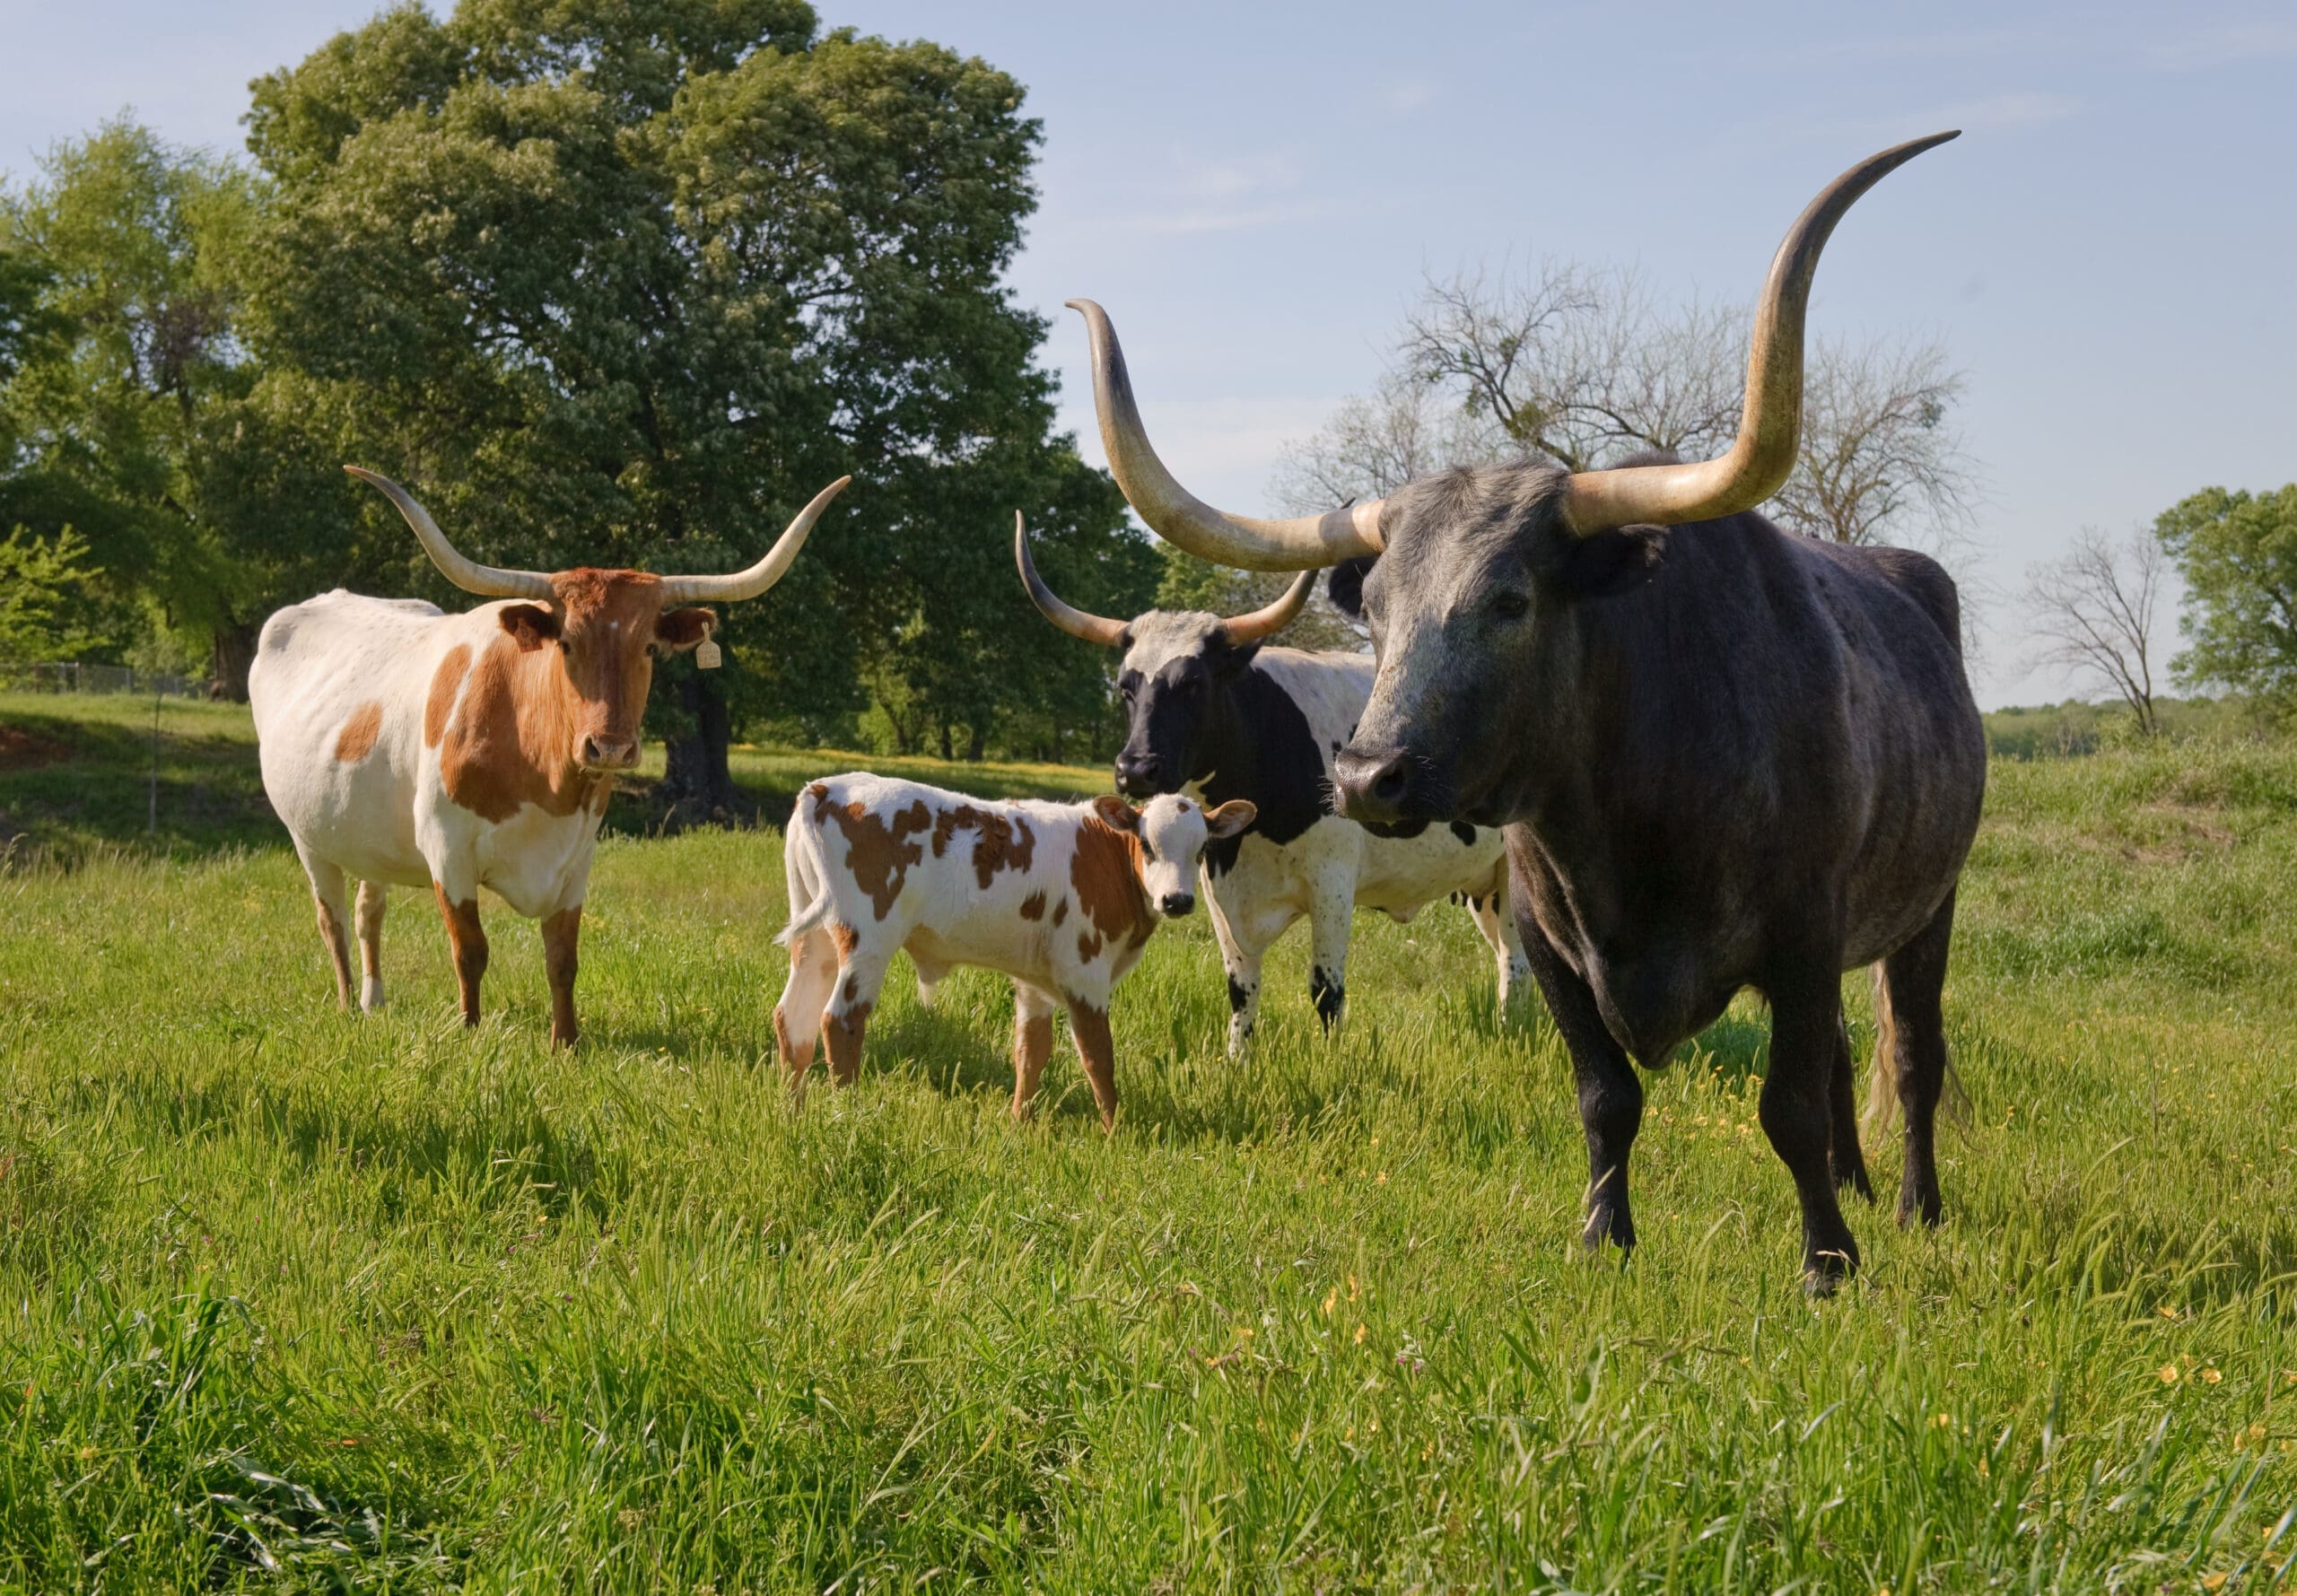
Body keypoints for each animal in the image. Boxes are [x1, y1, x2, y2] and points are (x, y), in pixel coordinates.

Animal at [250, 467, 849, 1047]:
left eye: (649, 648)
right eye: (566, 643)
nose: (610, 746)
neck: (541, 773)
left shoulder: (576, 857)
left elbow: (562, 958)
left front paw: (566, 1042)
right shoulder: (447, 849)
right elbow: (470, 951)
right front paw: (470, 1032)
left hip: (371, 834)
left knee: (367, 910)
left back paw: (374, 1002)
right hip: (306, 836)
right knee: (330, 919)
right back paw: (346, 1003)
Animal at [773, 775, 1254, 1127]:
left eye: (1201, 849)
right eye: (1148, 845)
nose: (1177, 900)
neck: (1106, 857)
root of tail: (825, 788)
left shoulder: (1034, 980)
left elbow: (1031, 1050)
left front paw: (1020, 1123)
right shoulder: (1085, 970)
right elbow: (1098, 1053)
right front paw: (1114, 1129)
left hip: (815, 939)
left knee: (793, 1018)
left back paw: (793, 1111)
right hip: (868, 940)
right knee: (840, 1021)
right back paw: (849, 1113)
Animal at [1015, 513, 1531, 1053]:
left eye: (1194, 683)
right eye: (1125, 688)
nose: (1135, 769)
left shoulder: (1332, 883)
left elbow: (1326, 991)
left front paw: (1332, 1060)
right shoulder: (1218, 888)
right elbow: (1241, 989)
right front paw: (1236, 1060)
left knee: (1516, 962)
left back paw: (1514, 1032)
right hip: (1484, 883)